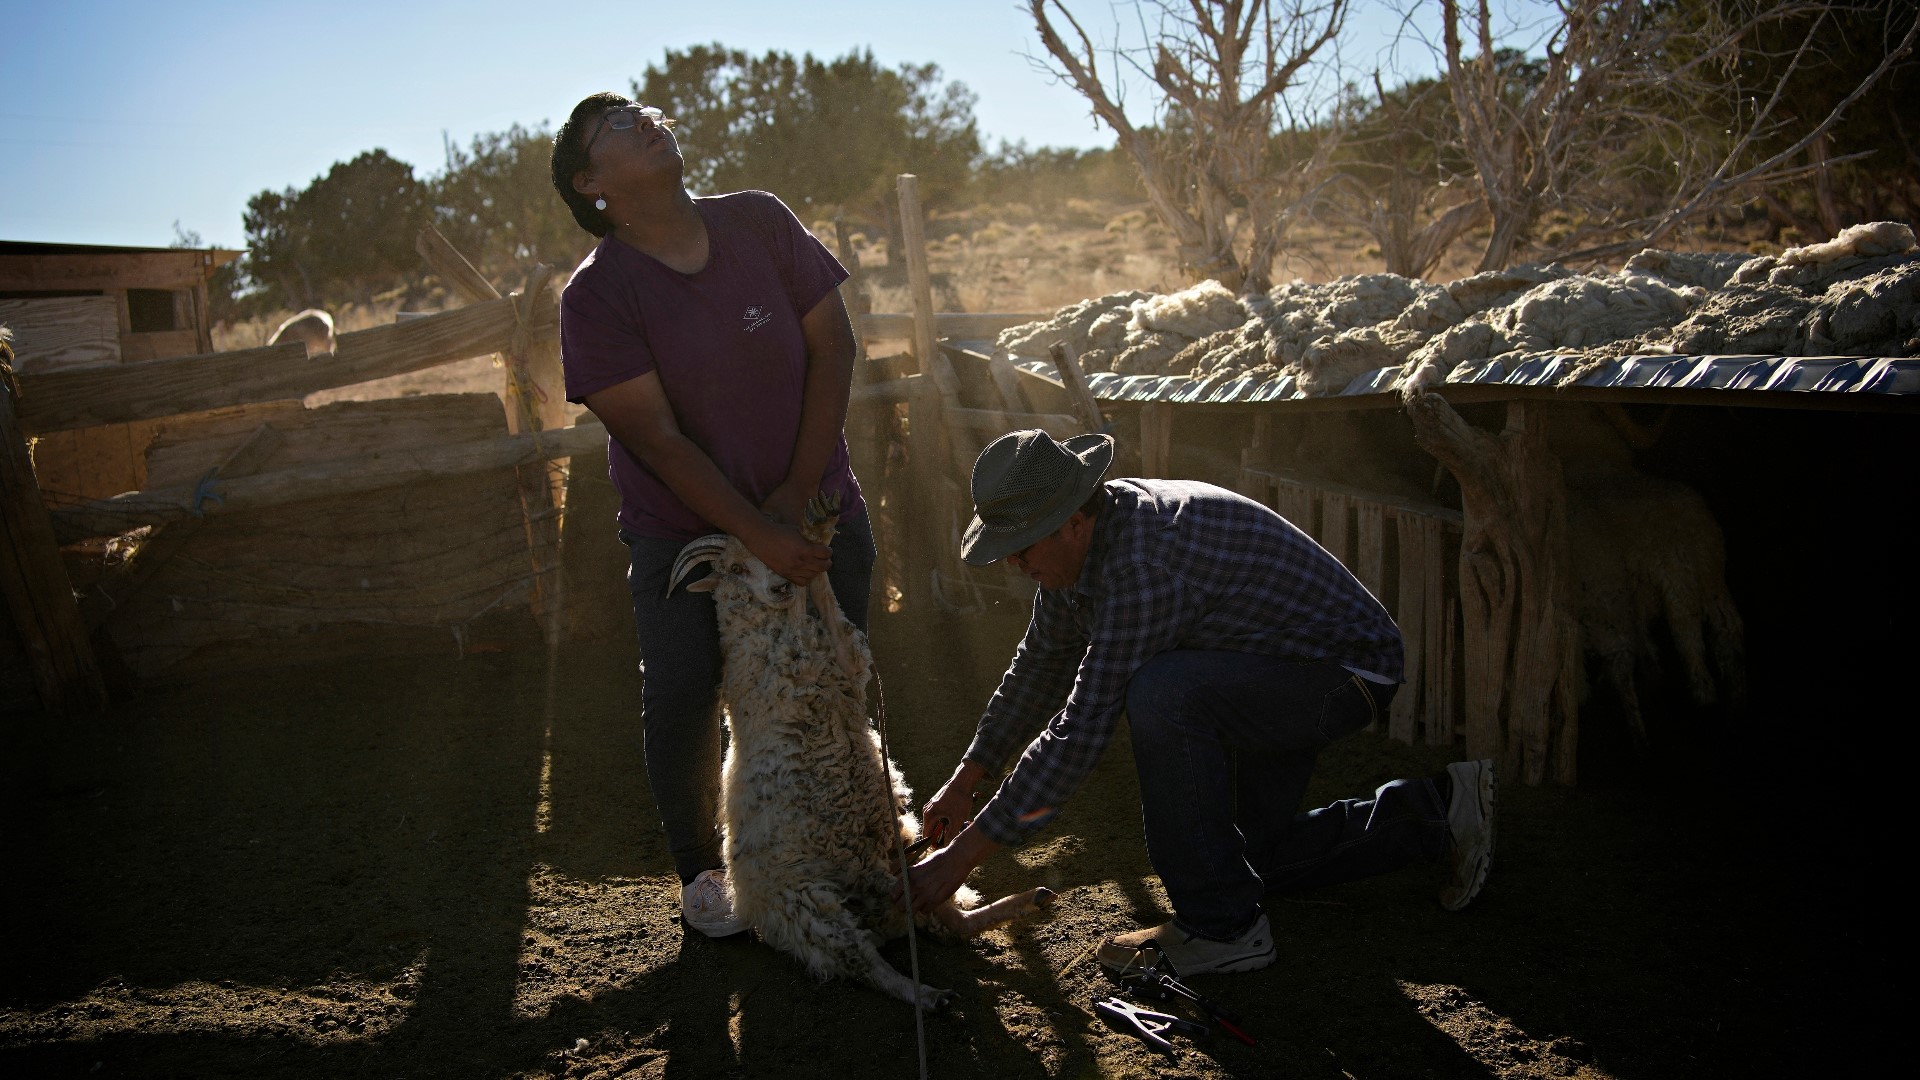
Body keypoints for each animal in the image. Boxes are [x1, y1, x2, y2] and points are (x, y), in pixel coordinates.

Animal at [669, 496, 1054, 1010]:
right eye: (733, 567)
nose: (777, 583)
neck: (761, 635)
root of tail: (872, 896)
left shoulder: (845, 665)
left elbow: (826, 606)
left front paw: (819, 530)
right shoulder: (796, 669)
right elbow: (803, 605)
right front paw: (813, 543)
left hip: (896, 880)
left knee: (951, 926)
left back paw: (1031, 900)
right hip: (814, 912)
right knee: (867, 964)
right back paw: (930, 996)